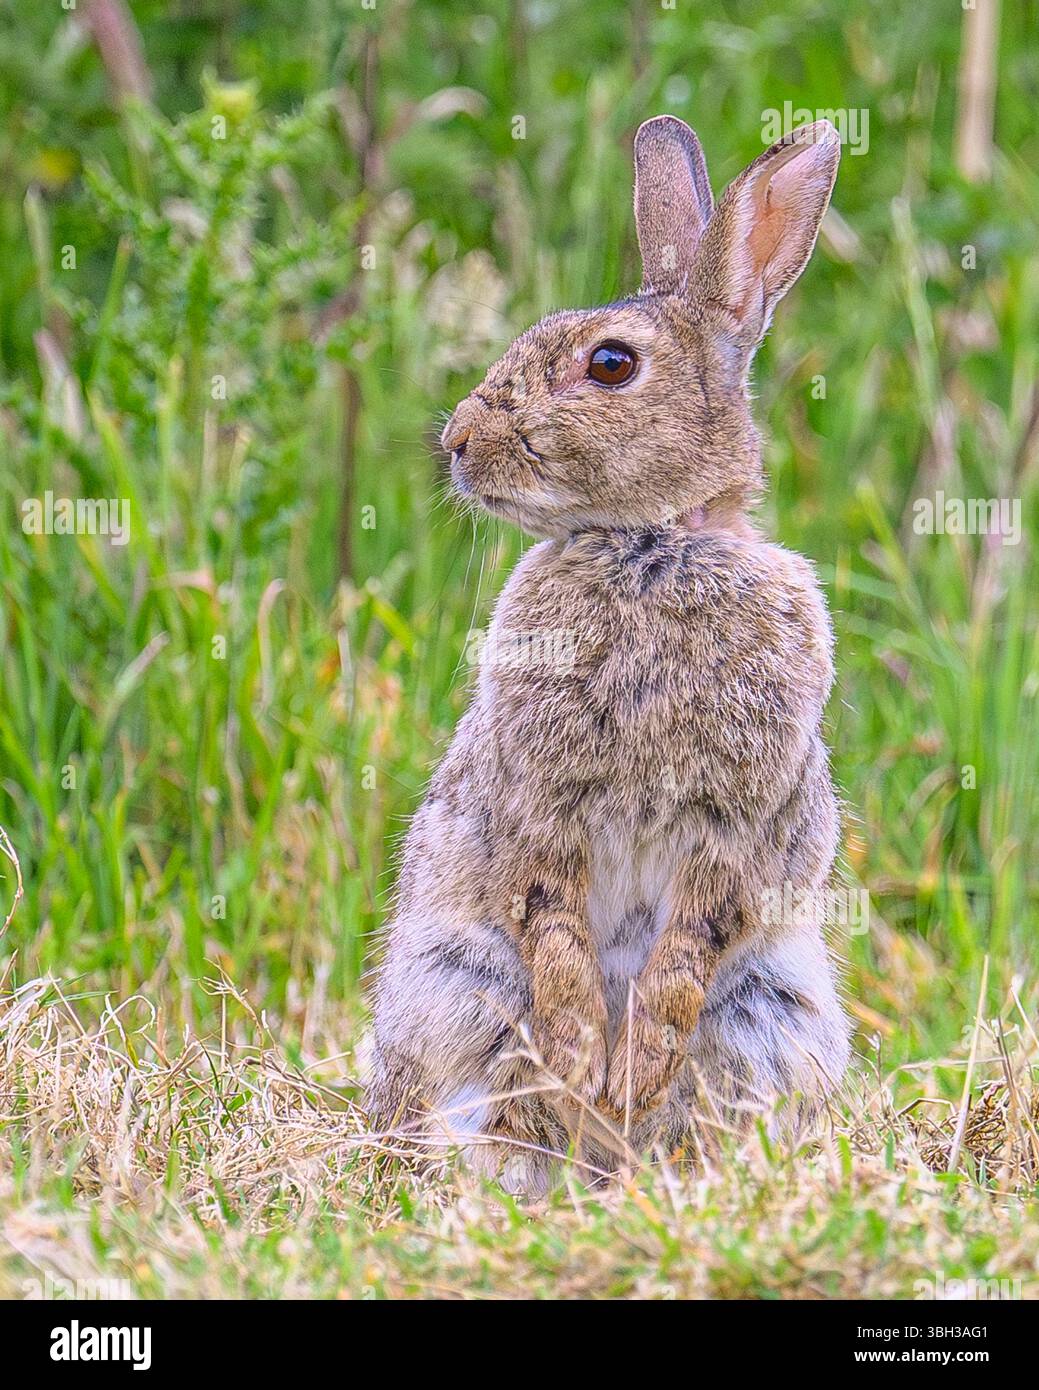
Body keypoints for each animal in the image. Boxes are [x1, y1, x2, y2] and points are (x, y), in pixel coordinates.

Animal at [365, 115, 851, 1195]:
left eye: (610, 365)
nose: (457, 442)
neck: (650, 542)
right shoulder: (539, 803)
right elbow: (552, 927)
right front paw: (586, 1055)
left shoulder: (736, 827)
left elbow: (685, 953)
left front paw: (630, 1073)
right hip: (458, 987)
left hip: (766, 1013)